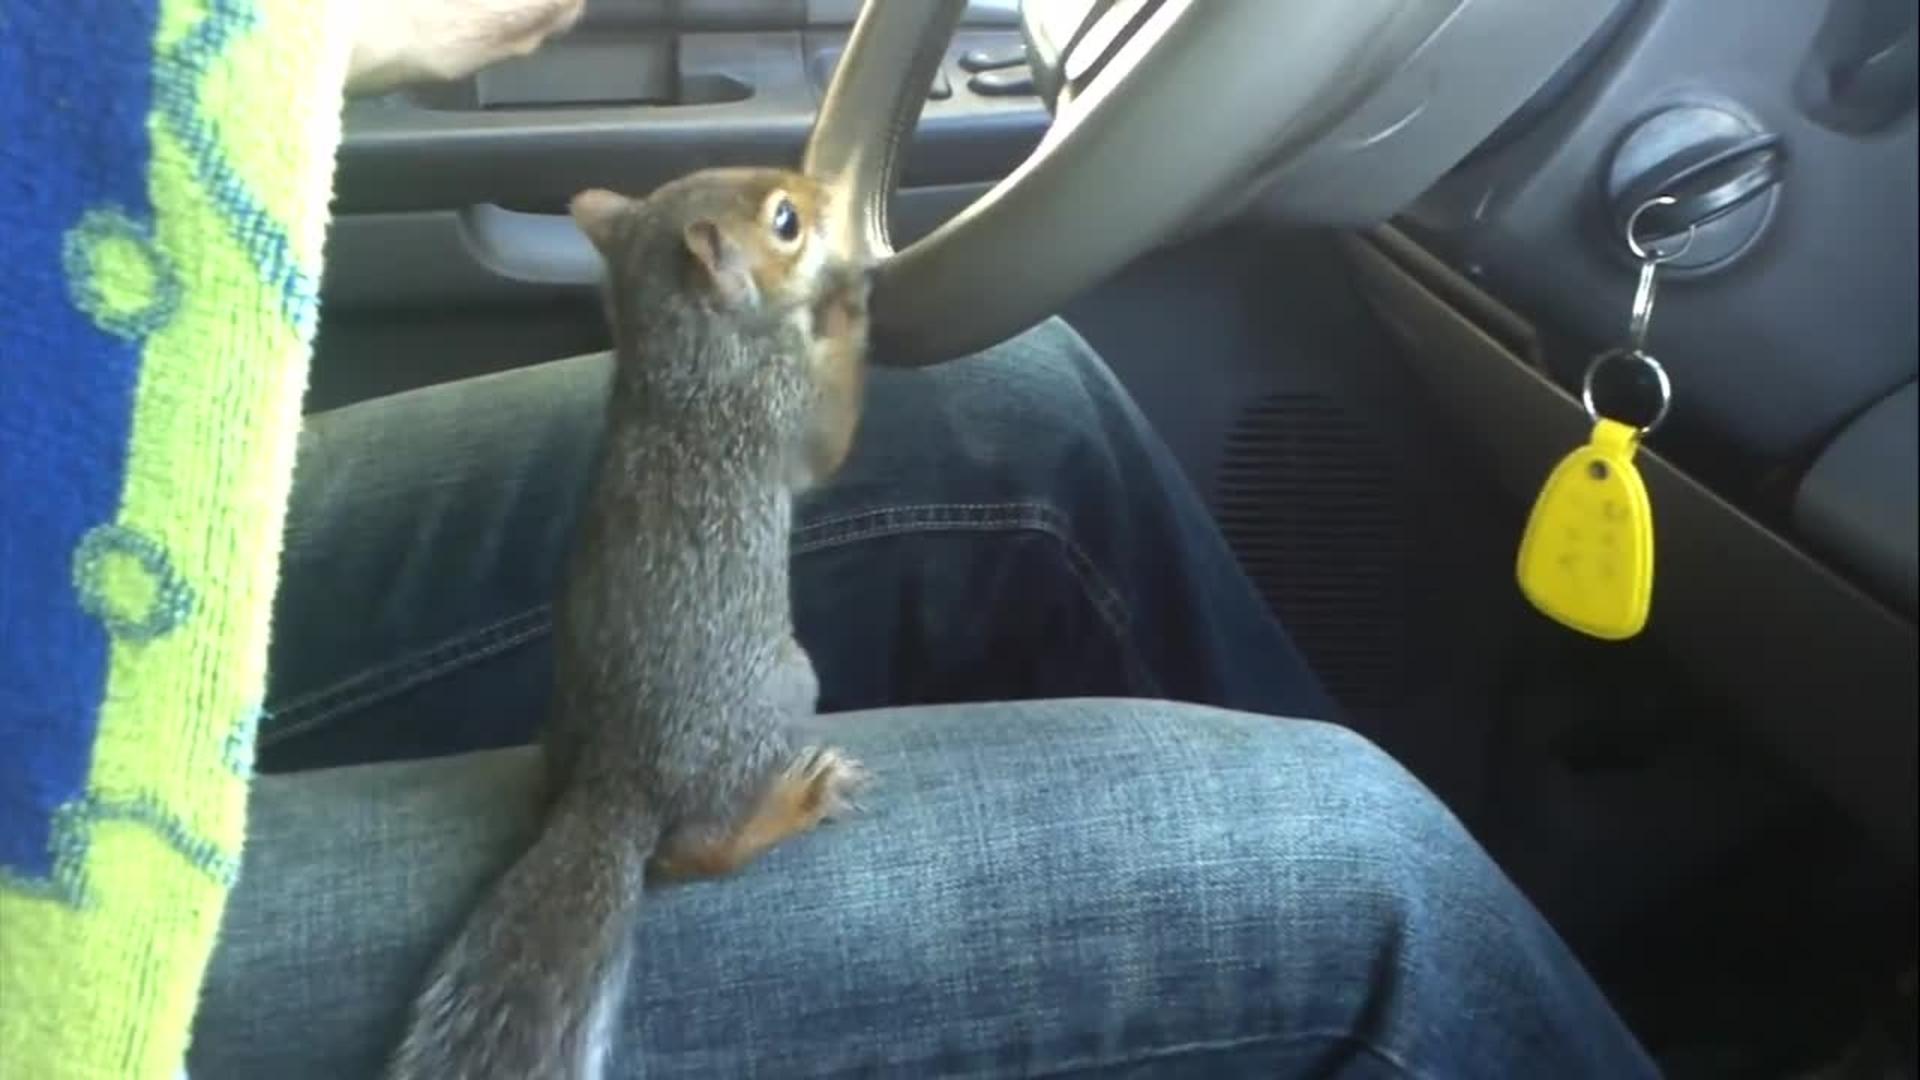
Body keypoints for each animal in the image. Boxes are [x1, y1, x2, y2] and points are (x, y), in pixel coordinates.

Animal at [385, 167, 874, 1080]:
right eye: (786, 223)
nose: (829, 192)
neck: (676, 353)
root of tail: (615, 783)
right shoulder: (775, 403)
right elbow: (828, 439)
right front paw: (850, 301)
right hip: (790, 688)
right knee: (689, 857)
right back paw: (793, 800)